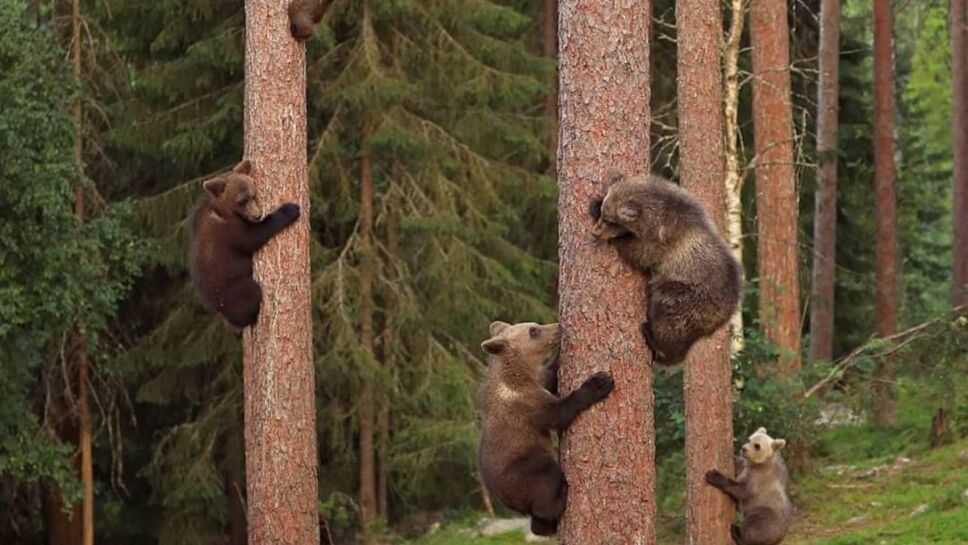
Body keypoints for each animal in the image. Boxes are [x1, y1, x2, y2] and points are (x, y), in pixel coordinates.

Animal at [189, 159, 301, 329]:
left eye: (253, 195)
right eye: (241, 200)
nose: (257, 215)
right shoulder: (231, 230)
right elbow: (253, 237)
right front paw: (291, 209)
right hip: (232, 290)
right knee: (251, 295)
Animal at [477, 321, 614, 536]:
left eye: (535, 325)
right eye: (533, 330)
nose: (558, 326)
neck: (519, 373)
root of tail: (510, 502)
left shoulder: (540, 380)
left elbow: (551, 376)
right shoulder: (526, 404)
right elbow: (559, 413)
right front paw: (599, 382)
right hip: (522, 469)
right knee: (547, 478)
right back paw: (561, 499)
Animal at [589, 169, 742, 365]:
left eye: (611, 221)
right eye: (604, 213)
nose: (595, 231)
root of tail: (728, 311)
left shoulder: (663, 245)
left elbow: (638, 252)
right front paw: (595, 202)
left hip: (685, 295)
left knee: (668, 319)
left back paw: (652, 337)